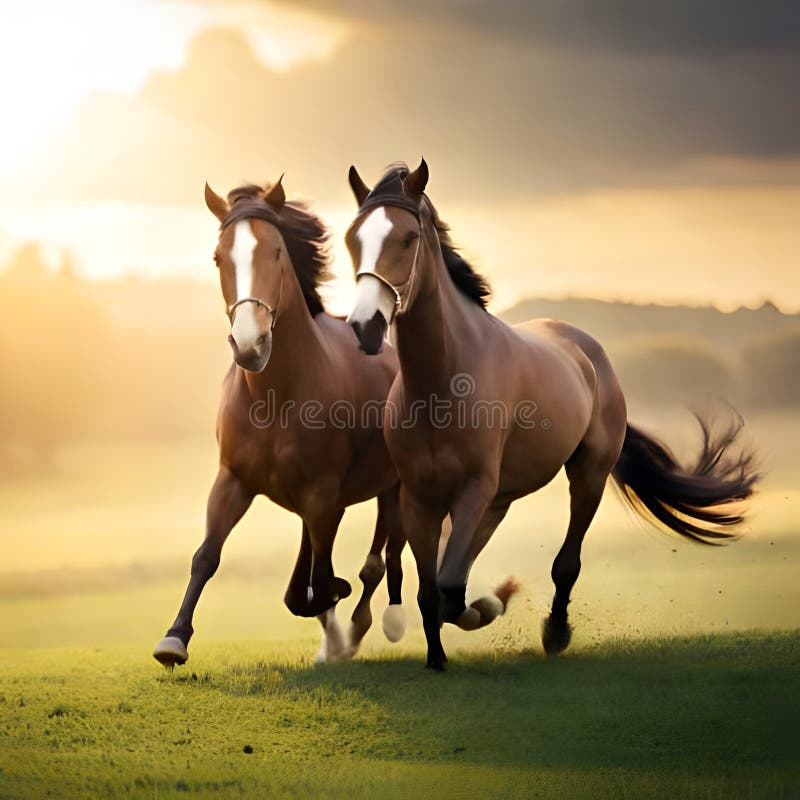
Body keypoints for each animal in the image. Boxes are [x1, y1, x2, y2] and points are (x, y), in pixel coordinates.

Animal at [153, 177, 407, 669]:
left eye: (274, 252)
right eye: (218, 257)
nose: (249, 344)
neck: (273, 397)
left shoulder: (322, 495)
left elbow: (320, 583)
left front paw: (336, 606)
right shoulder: (233, 480)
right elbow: (207, 556)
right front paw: (173, 639)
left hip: (389, 488)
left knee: (377, 560)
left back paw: (354, 630)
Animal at [344, 159, 758, 671]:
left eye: (407, 238)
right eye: (353, 238)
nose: (365, 326)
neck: (442, 383)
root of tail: (587, 350)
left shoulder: (473, 489)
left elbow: (450, 590)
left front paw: (495, 601)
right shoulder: (419, 498)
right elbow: (430, 590)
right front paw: (436, 658)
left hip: (587, 475)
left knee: (566, 563)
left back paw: (556, 632)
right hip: (498, 500)